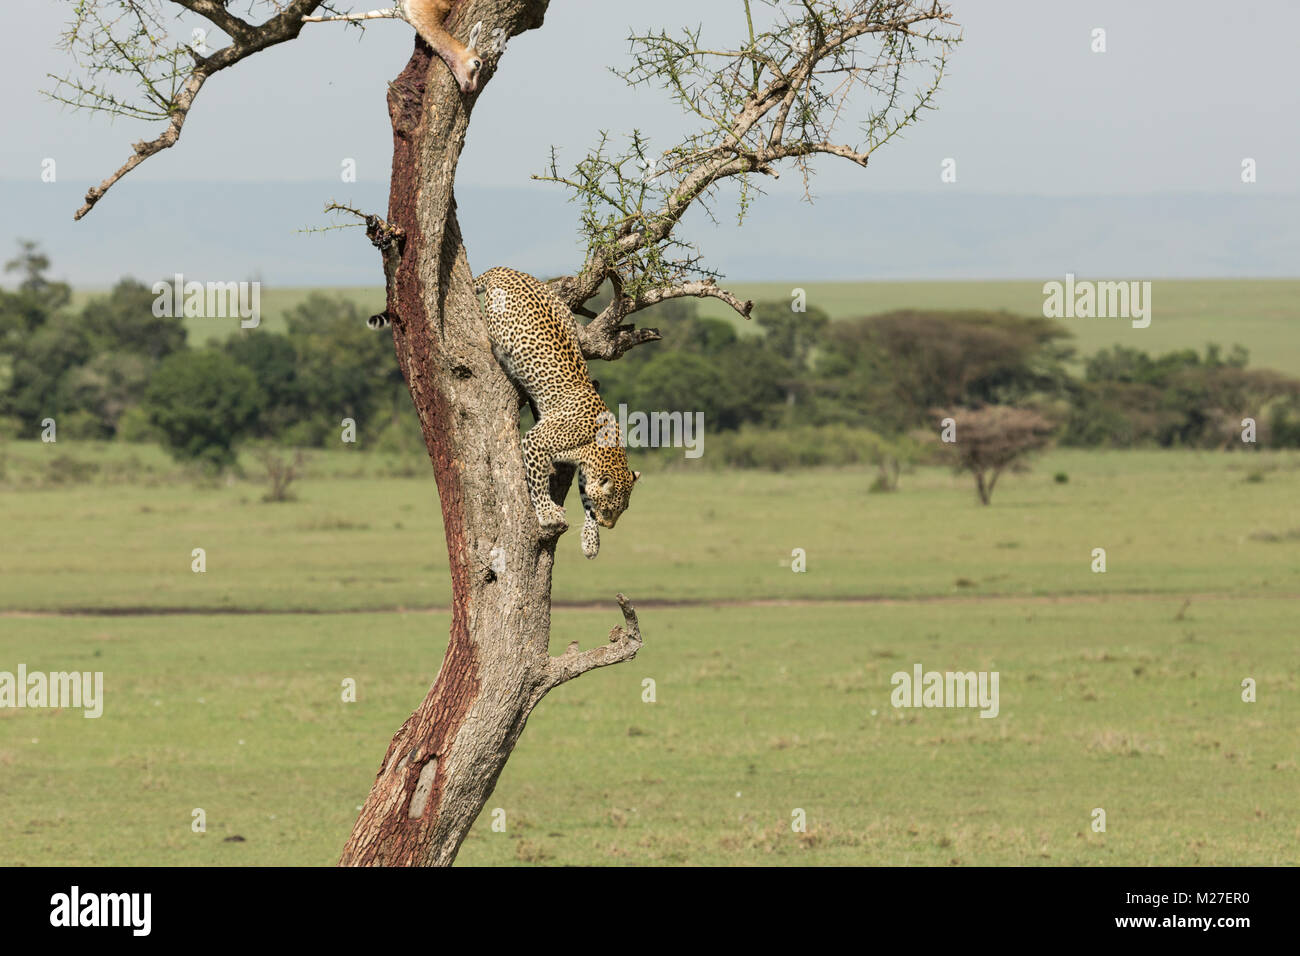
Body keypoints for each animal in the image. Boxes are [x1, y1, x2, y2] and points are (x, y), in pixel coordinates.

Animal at [476, 266, 639, 558]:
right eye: (610, 509)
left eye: (622, 510)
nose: (608, 525)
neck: (598, 448)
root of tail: (507, 270)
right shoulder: (537, 441)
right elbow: (538, 482)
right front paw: (548, 514)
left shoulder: (586, 468)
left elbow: (586, 498)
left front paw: (591, 539)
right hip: (499, 319)